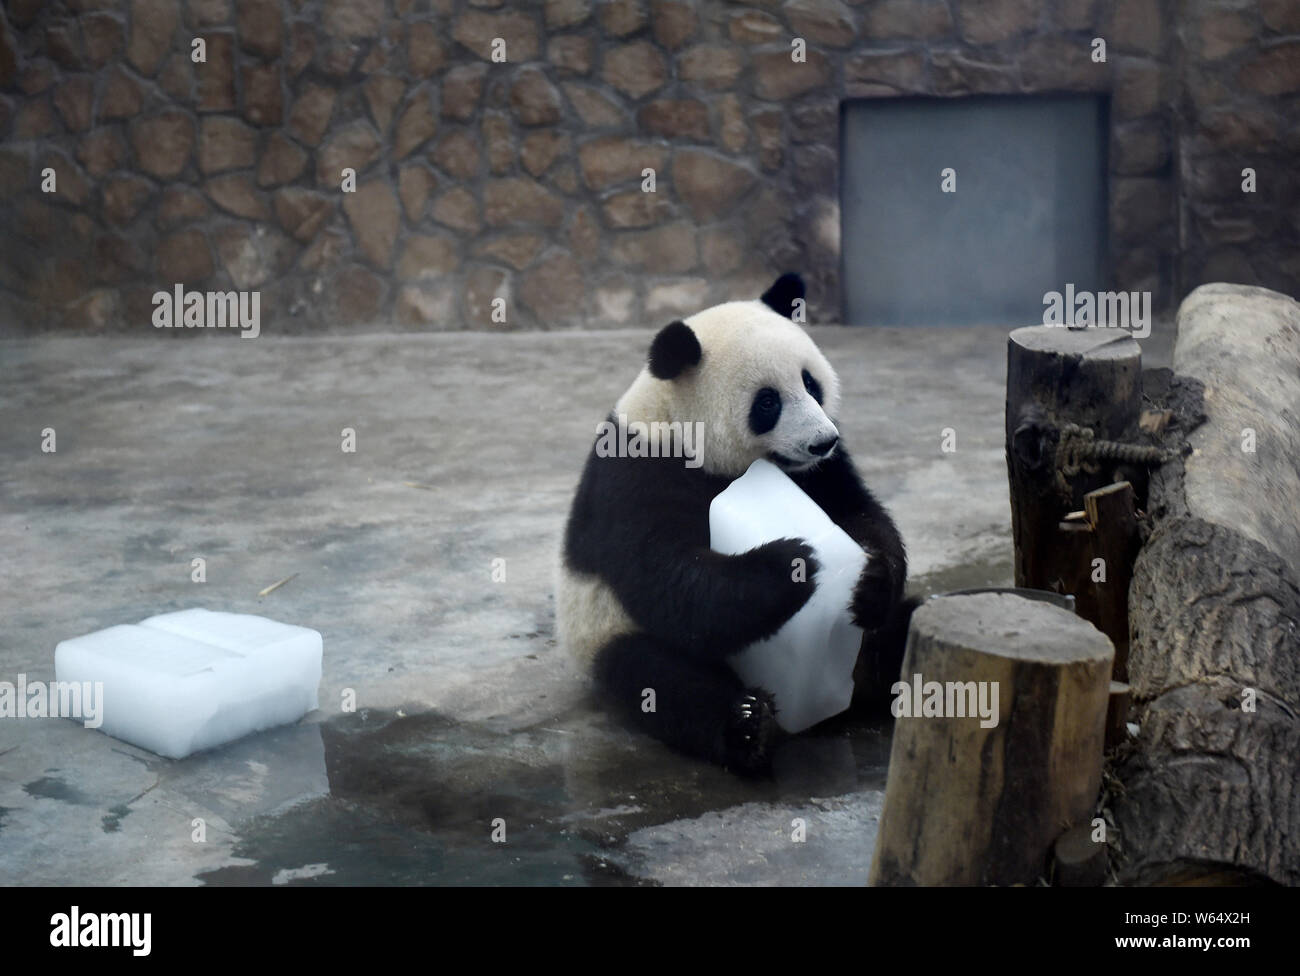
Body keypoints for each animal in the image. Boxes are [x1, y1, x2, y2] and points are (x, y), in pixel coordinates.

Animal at [557, 273, 915, 774]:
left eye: (811, 383)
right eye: (767, 402)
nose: (822, 441)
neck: (676, 423)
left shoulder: (821, 473)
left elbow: (857, 512)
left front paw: (872, 578)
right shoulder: (636, 476)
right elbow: (668, 579)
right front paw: (792, 564)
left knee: (906, 625)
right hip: (603, 631)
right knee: (663, 683)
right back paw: (748, 725)